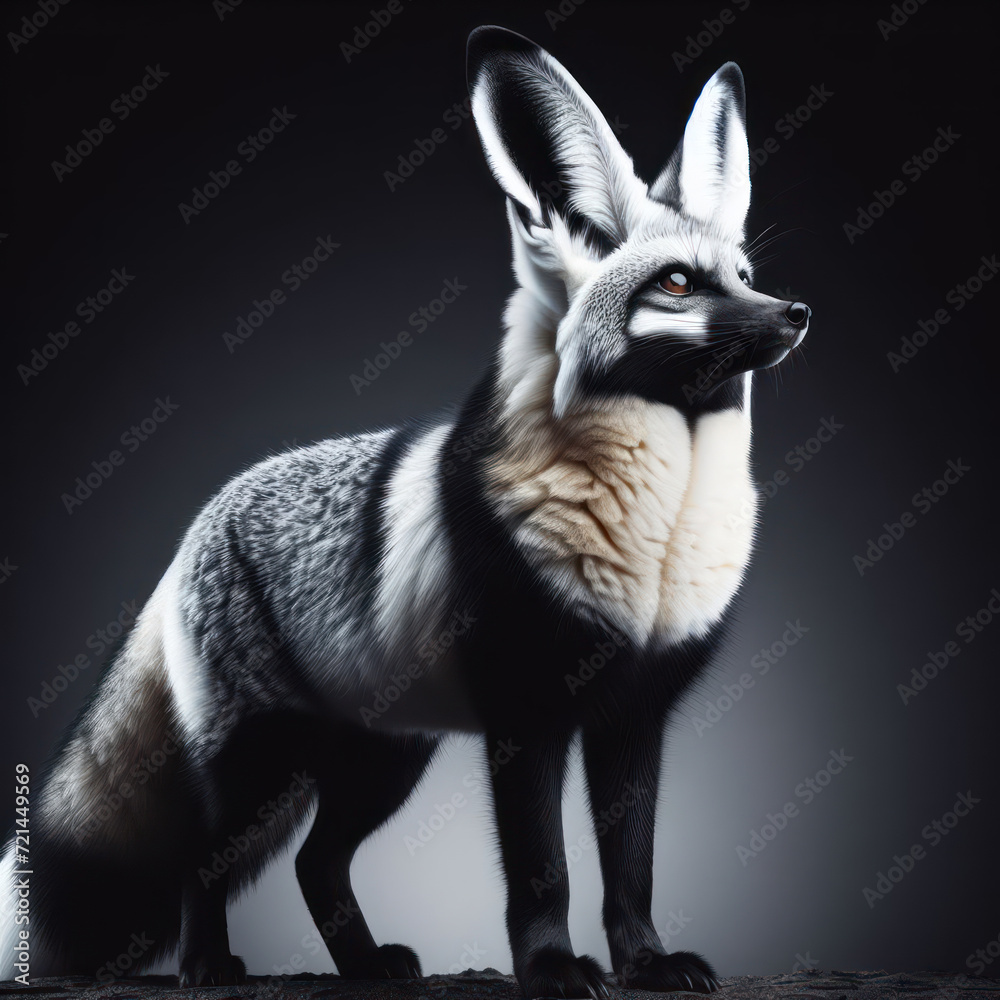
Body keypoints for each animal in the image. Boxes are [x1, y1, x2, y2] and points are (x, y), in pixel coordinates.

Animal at [1, 25, 809, 998]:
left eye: (746, 276)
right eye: (681, 284)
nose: (798, 312)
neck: (654, 546)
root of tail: (201, 521)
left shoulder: (633, 718)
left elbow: (632, 869)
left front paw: (647, 963)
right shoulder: (527, 717)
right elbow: (546, 870)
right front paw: (551, 967)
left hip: (382, 758)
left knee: (315, 865)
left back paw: (366, 966)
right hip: (260, 765)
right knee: (204, 857)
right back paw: (207, 965)